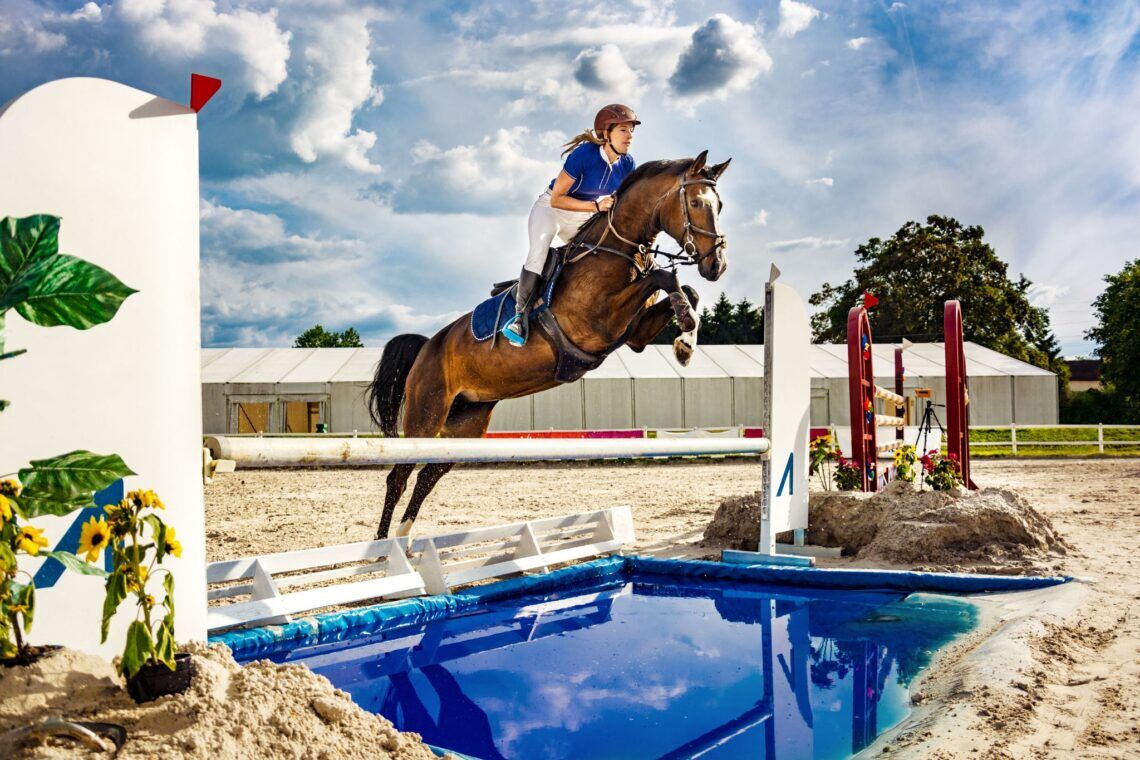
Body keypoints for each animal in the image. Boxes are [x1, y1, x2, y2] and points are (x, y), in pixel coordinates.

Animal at [366, 150, 731, 539]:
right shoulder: (598, 321)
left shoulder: (634, 334)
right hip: (426, 413)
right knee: (398, 477)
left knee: (428, 474)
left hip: (466, 420)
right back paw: (382, 545)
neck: (616, 251)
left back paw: (404, 539)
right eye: (696, 203)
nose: (716, 265)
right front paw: (686, 328)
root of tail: (426, 347)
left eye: (720, 204)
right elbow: (665, 276)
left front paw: (686, 341)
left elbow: (684, 289)